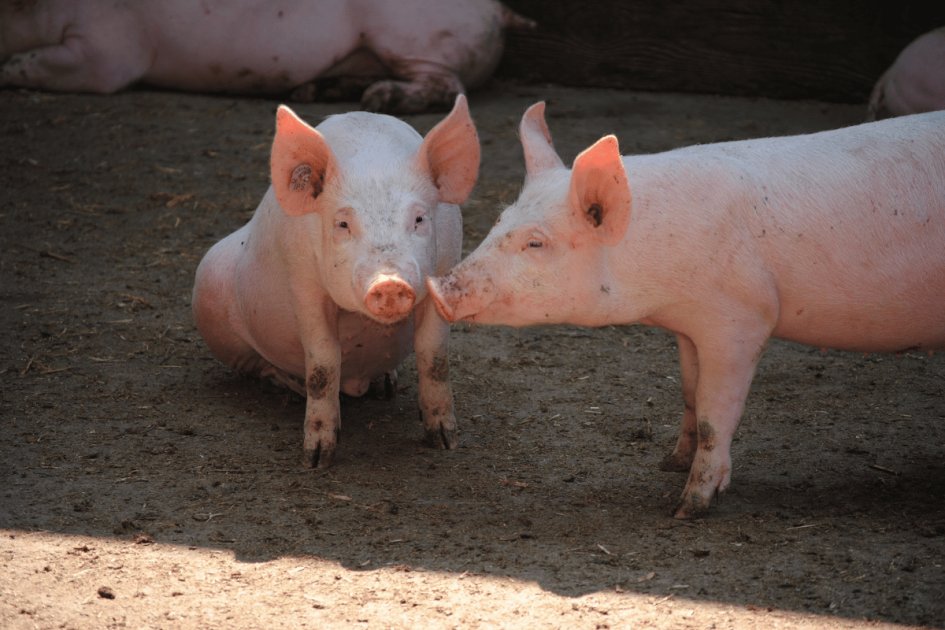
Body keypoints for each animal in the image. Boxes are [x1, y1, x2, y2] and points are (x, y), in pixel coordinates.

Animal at [192, 95, 480, 468]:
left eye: (419, 218)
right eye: (343, 224)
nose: (389, 282)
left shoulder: (444, 267)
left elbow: (435, 355)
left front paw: (446, 441)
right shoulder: (303, 283)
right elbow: (323, 363)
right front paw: (316, 459)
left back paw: (385, 385)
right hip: (210, 303)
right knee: (254, 366)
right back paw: (289, 384)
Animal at [427, 102, 945, 518]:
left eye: (536, 242)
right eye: (499, 219)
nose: (436, 287)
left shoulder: (741, 320)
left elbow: (716, 414)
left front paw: (687, 509)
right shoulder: (689, 329)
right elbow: (691, 394)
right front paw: (668, 462)